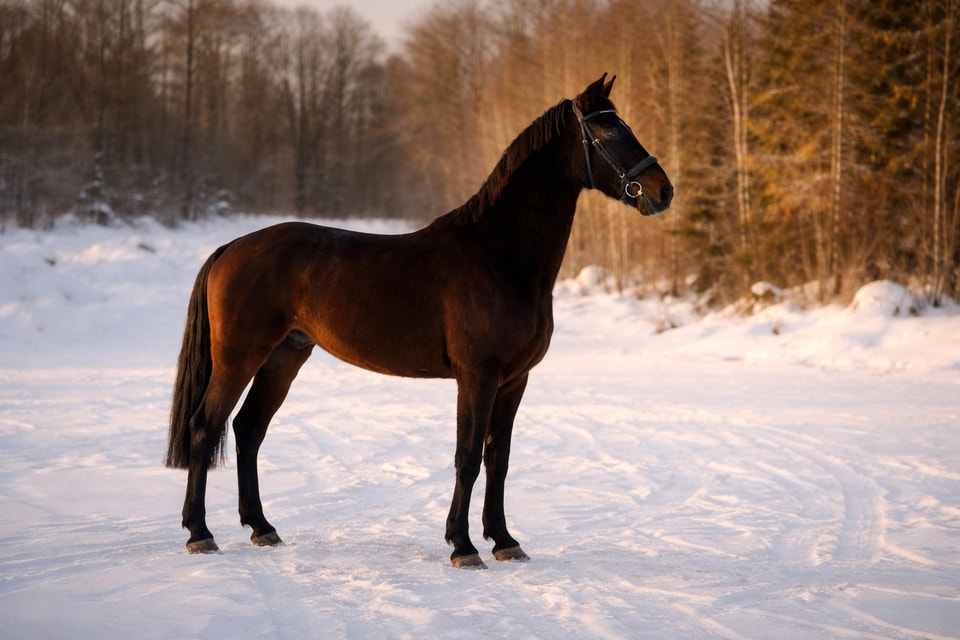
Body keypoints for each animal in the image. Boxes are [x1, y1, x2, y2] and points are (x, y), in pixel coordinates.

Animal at [165, 73, 673, 569]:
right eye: (608, 131)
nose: (662, 191)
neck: (499, 257)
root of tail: (231, 248)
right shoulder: (477, 376)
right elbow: (468, 457)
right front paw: (463, 546)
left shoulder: (514, 380)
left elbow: (499, 459)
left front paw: (504, 541)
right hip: (239, 357)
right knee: (205, 427)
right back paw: (200, 534)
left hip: (283, 358)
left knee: (248, 430)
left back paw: (262, 528)